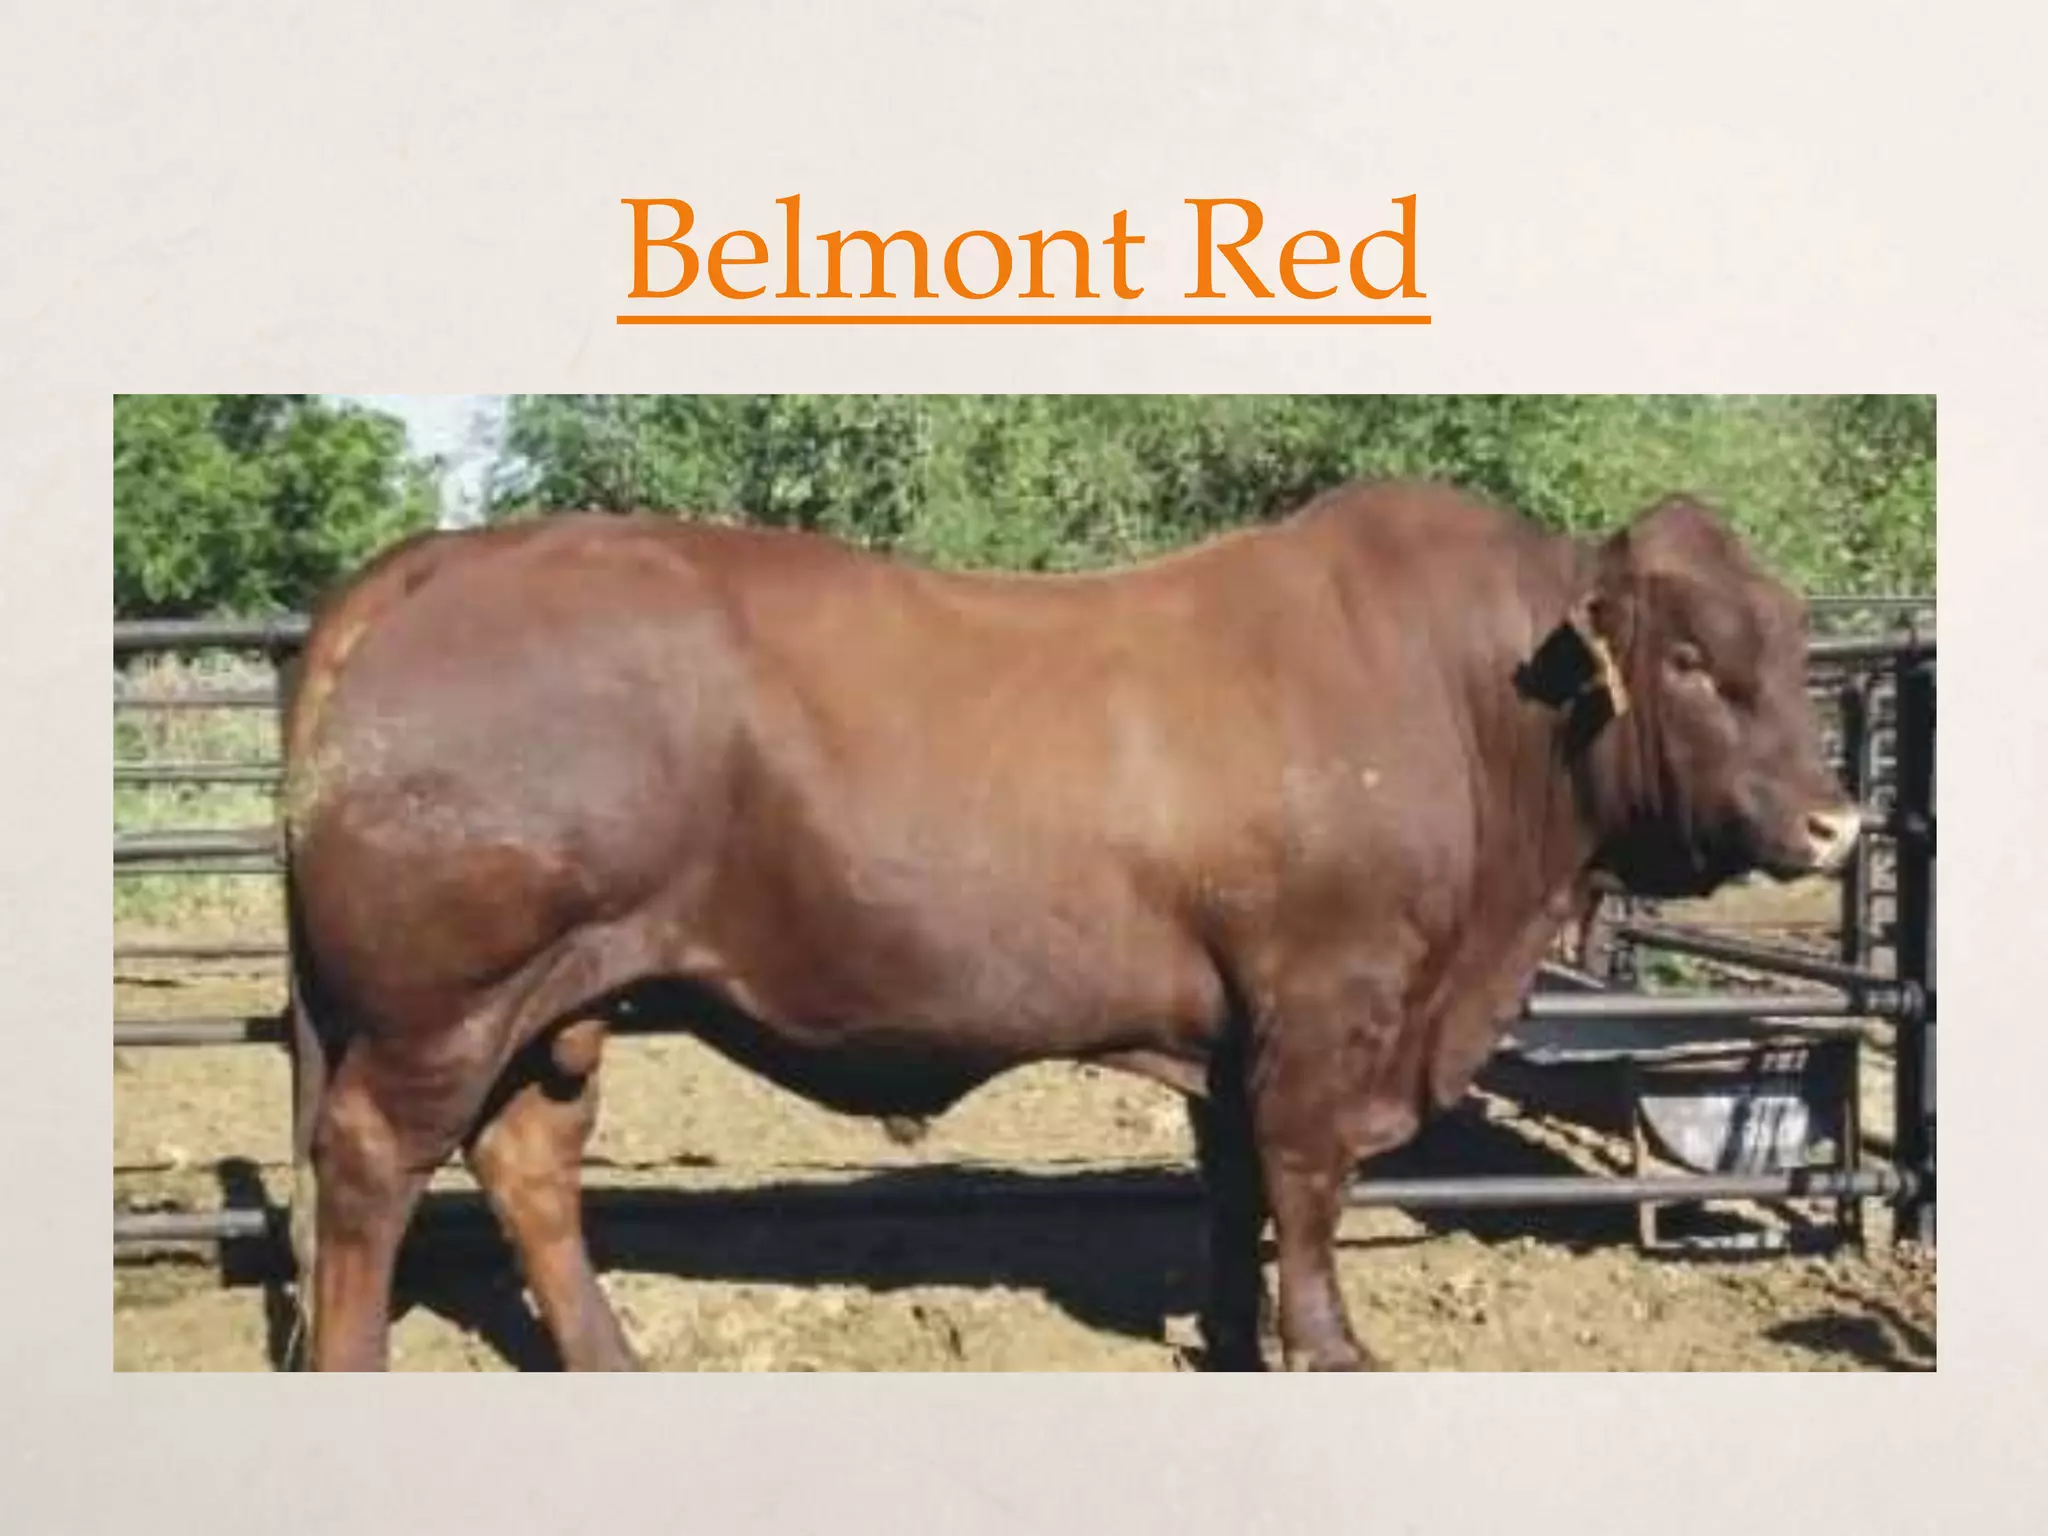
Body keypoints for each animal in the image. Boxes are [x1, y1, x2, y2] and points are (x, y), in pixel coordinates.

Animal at [279, 479, 1861, 1371]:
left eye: (1796, 647)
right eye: (1692, 661)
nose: (1836, 824)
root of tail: (438, 560)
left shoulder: (1232, 1027)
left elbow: (1232, 1188)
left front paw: (1231, 1337)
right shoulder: (1328, 1004)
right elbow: (1307, 1186)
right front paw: (1331, 1349)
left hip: (562, 999)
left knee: (529, 1166)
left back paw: (615, 1359)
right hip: (444, 1003)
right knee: (369, 1170)